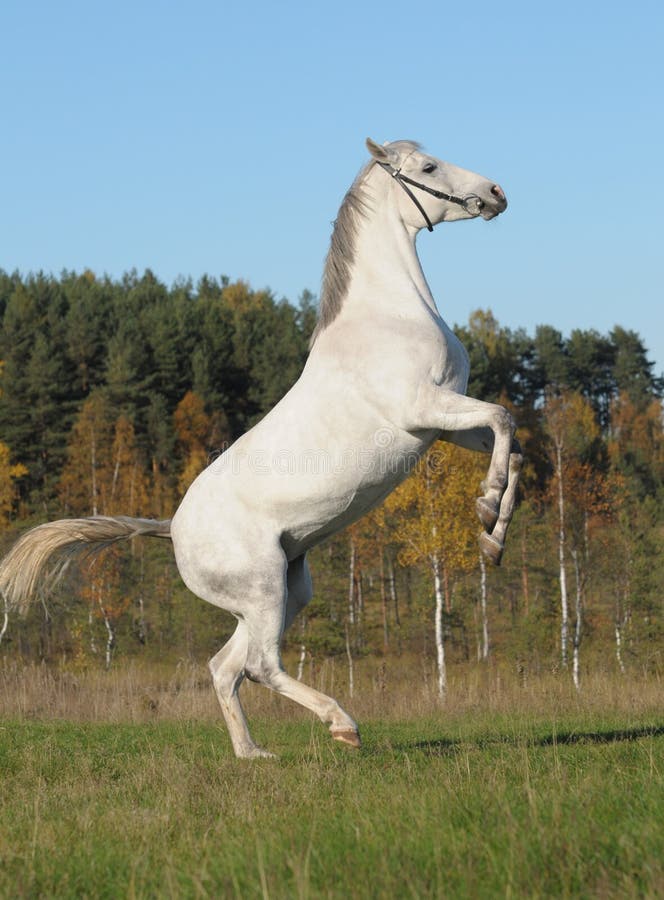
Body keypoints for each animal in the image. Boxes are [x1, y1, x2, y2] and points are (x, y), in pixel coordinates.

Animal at [0, 138, 522, 758]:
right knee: (260, 666)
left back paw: (253, 754)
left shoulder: (446, 425)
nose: (496, 193)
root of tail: (171, 530)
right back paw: (342, 725)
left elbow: (511, 439)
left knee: (226, 667)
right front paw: (487, 508)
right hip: (263, 591)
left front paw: (494, 538)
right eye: (427, 167)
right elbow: (504, 419)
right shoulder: (423, 409)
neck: (390, 313)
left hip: (281, 593)